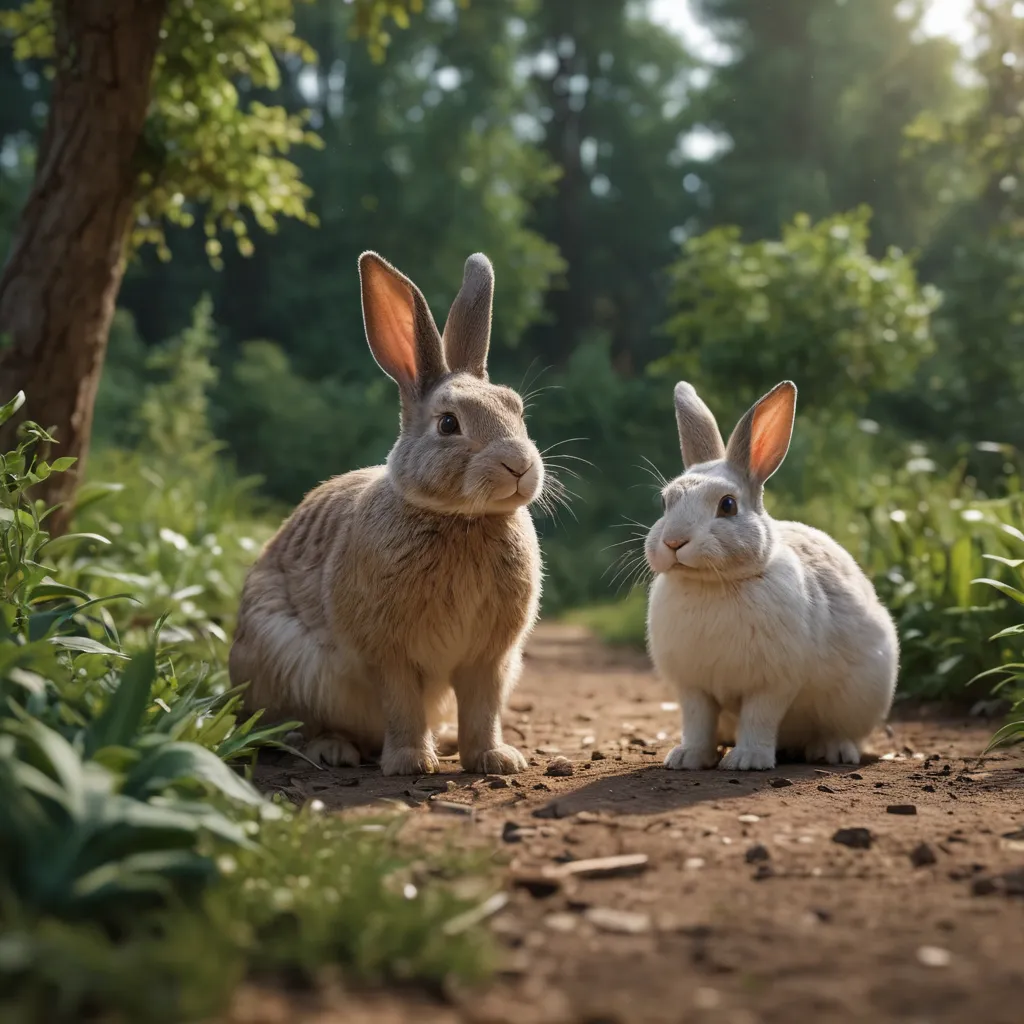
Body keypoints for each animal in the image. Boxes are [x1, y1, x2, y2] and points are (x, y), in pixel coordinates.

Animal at [228, 251, 544, 776]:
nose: (519, 465)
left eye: (516, 410)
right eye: (448, 424)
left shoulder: (489, 659)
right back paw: (333, 750)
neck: (461, 518)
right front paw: (412, 764)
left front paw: (494, 759)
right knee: (291, 730)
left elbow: (482, 708)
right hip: (290, 669)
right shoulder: (390, 655)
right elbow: (401, 704)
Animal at [645, 380, 899, 771]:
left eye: (728, 505)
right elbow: (698, 721)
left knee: (845, 733)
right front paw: (687, 758)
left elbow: (759, 718)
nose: (674, 542)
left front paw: (747, 760)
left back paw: (832, 750)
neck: (713, 583)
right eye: (664, 502)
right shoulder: (693, 688)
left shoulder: (771, 685)